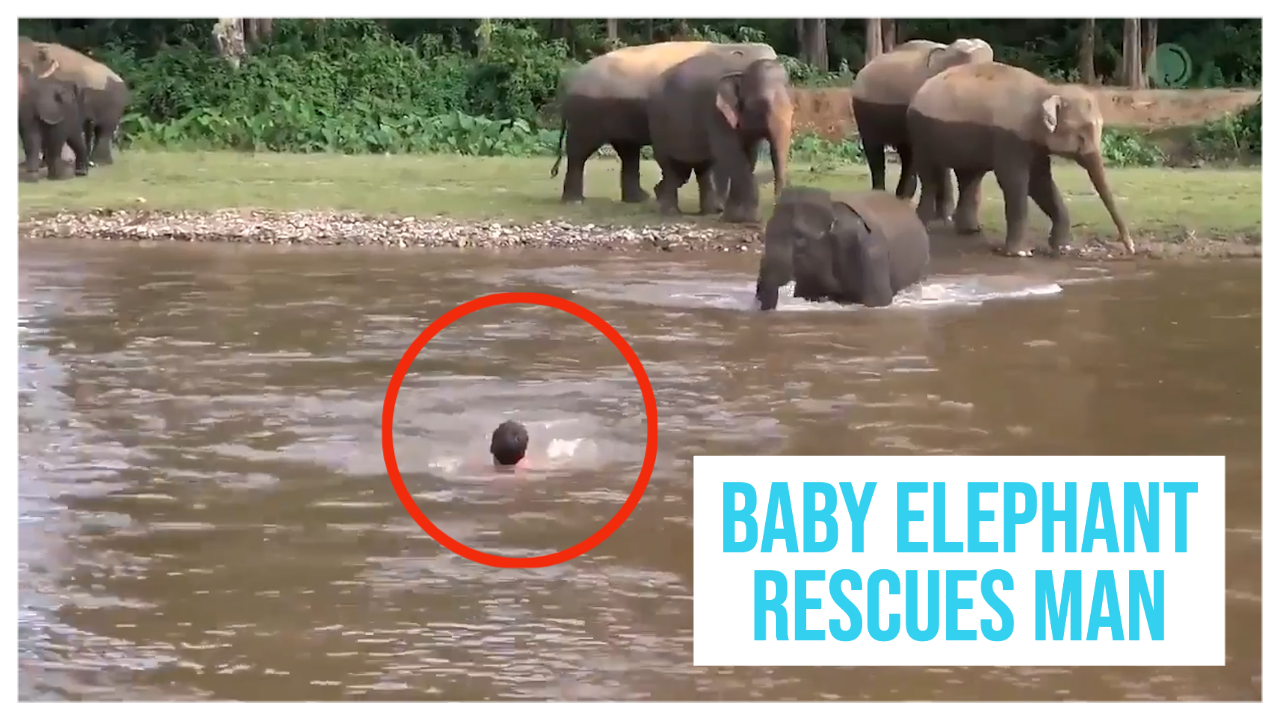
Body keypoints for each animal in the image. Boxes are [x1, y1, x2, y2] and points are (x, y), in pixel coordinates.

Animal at [549, 40, 777, 205]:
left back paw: (639, 199)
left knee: (628, 151)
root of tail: (570, 82)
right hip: (587, 114)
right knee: (580, 151)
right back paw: (575, 202)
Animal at [647, 54, 793, 223]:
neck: (742, 70)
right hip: (657, 126)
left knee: (696, 169)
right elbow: (731, 155)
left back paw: (709, 210)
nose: (776, 205)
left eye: (793, 105)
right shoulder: (715, 114)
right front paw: (747, 219)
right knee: (670, 167)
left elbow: (749, 155)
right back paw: (670, 211)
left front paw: (735, 217)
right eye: (760, 104)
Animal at [905, 61, 1134, 257]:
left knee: (969, 177)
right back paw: (923, 223)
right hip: (922, 132)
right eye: (1081, 134)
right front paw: (1021, 252)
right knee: (929, 174)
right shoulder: (1009, 137)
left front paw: (1062, 248)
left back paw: (970, 230)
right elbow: (1014, 182)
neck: (1048, 90)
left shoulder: (1035, 143)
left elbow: (1040, 183)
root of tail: (919, 90)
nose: (1130, 247)